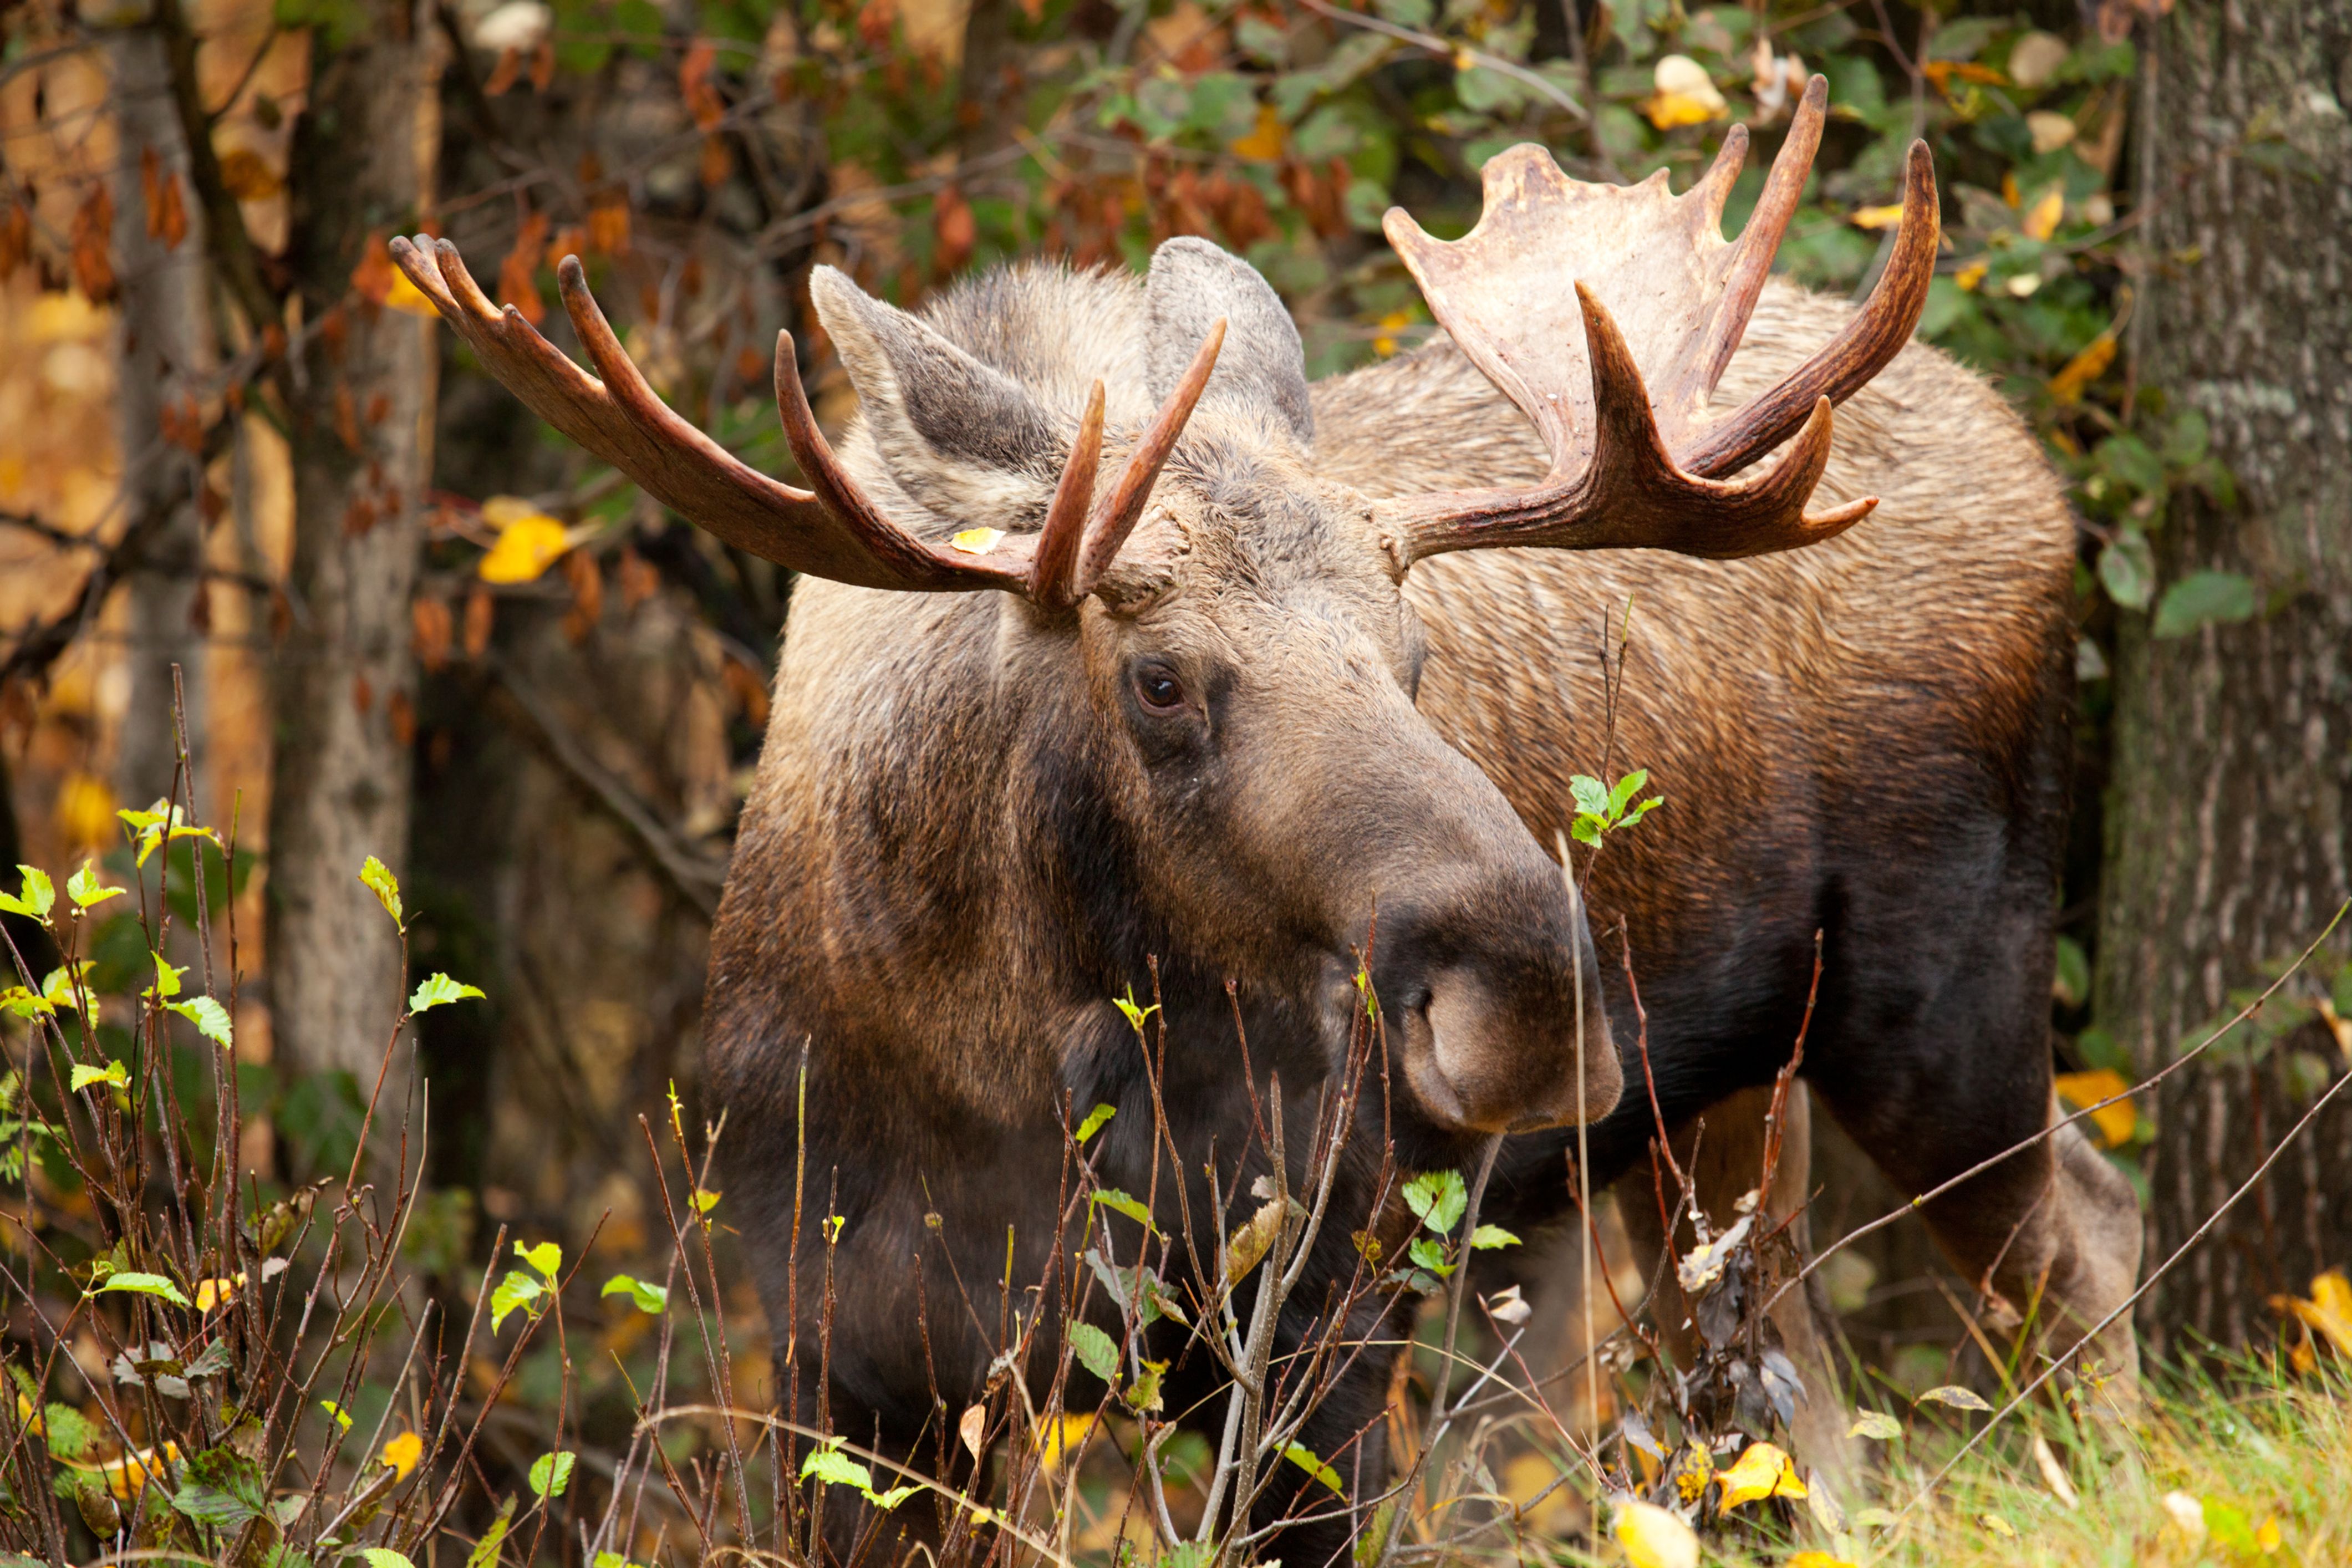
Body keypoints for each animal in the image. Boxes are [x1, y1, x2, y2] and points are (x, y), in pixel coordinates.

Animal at [392, 77, 2140, 1564]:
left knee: (2079, 1251)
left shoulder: (1315, 1322)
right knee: (1792, 1397)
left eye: (1413, 648)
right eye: (1158, 677)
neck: (990, 1064)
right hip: (1710, 1107)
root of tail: (2030, 456)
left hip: (1941, 994)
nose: (1535, 993)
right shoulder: (841, 1356)